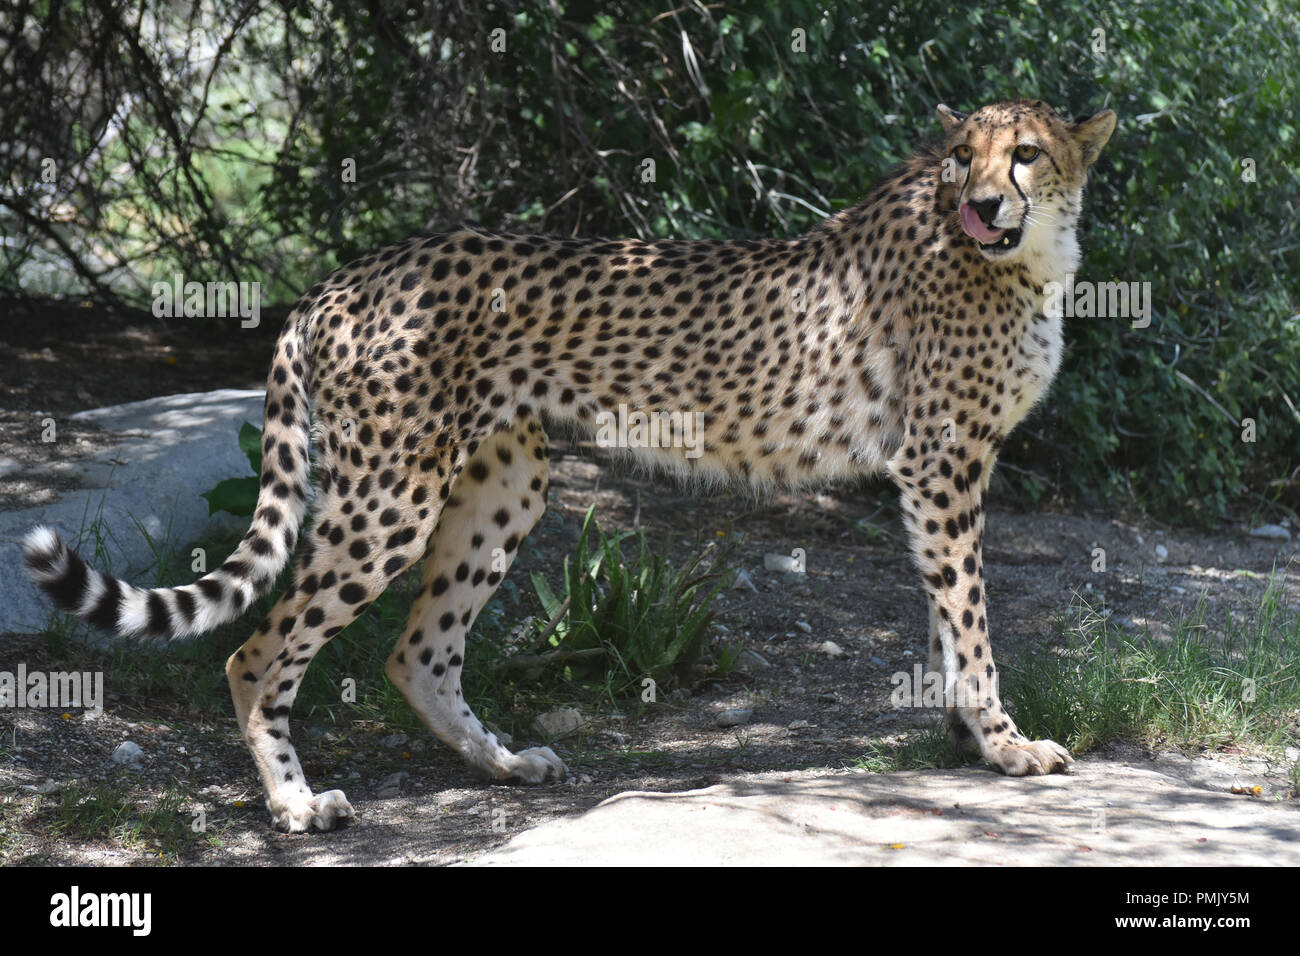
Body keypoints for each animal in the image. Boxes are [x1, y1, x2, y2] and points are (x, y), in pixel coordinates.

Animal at [23, 99, 1116, 832]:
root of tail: (348, 273)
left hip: (504, 484)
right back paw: (295, 803)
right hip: (391, 496)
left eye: (1024, 154)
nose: (983, 202)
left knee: (415, 649)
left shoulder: (941, 466)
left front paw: (966, 740)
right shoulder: (943, 460)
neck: (1024, 256)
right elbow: (970, 616)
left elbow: (946, 614)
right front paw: (1003, 742)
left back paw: (505, 763)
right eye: (962, 157)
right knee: (257, 650)